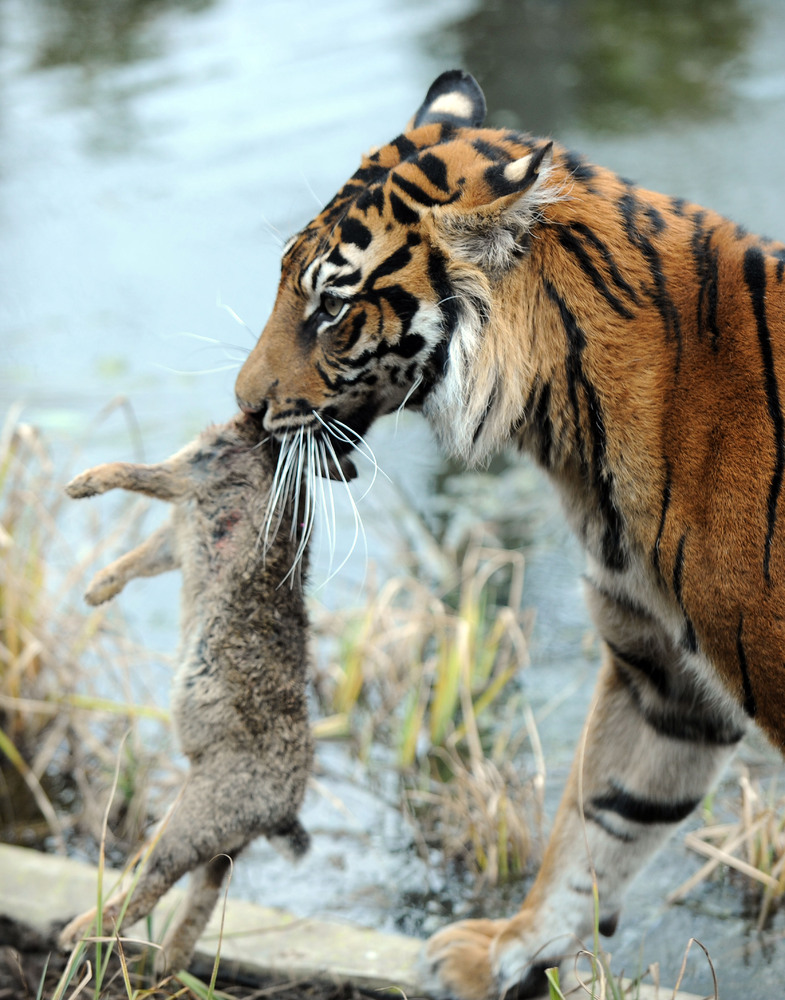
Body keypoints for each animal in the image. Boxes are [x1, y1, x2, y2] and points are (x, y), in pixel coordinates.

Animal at [234, 69, 785, 999]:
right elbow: (603, 816)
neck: (576, 418)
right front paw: (505, 948)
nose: (242, 407)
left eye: (332, 306)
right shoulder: (660, 670)